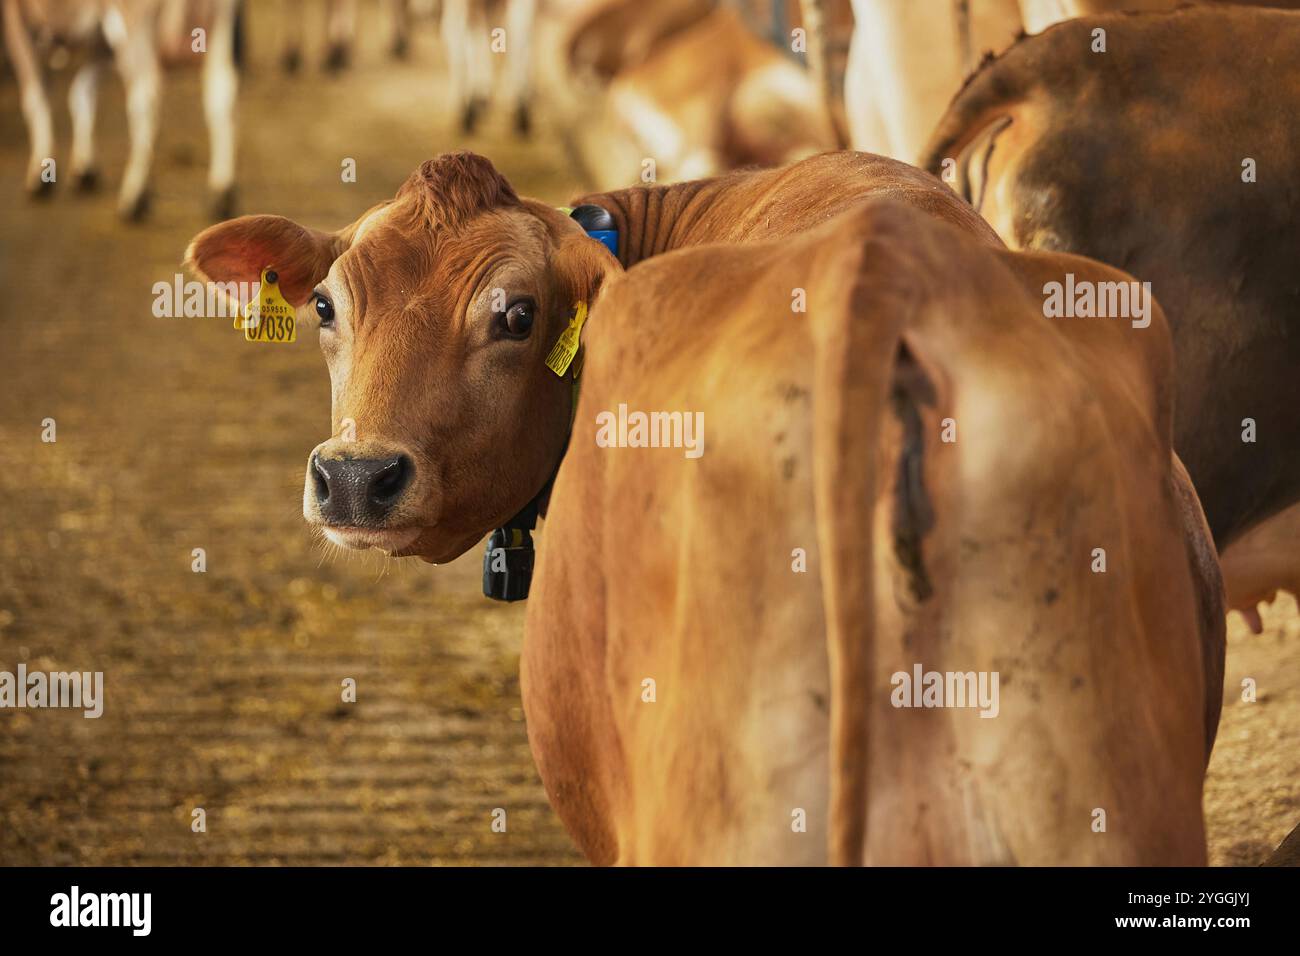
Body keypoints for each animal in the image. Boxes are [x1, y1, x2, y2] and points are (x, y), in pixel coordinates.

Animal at [3, 0, 239, 219]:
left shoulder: (14, 18)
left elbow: (36, 96)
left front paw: (40, 175)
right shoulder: (101, 40)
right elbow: (82, 90)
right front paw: (83, 169)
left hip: (138, 26)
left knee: (146, 98)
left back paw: (134, 197)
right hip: (220, 26)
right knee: (221, 92)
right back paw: (221, 194)